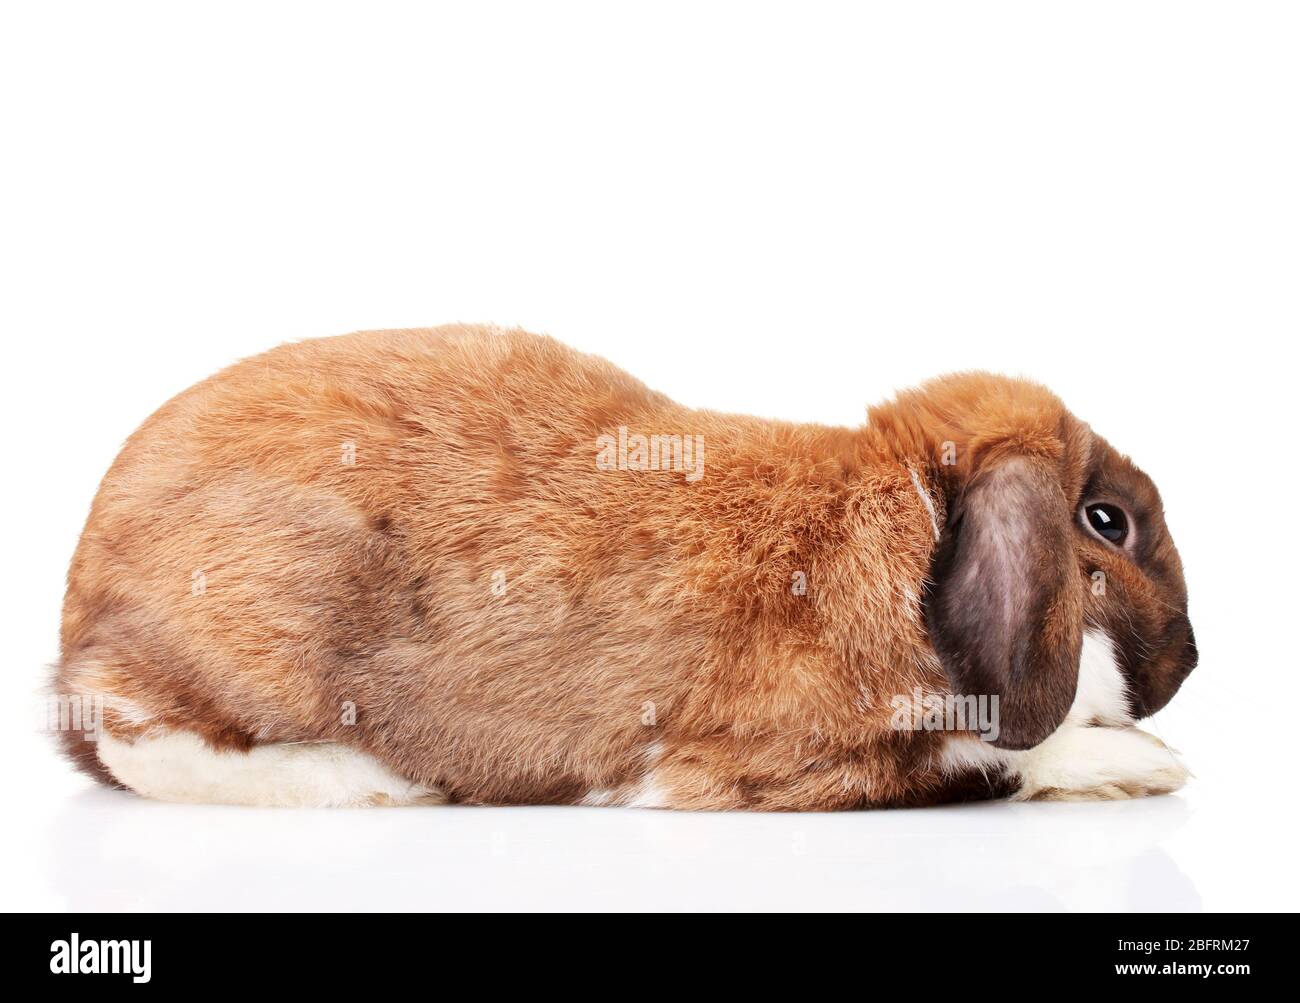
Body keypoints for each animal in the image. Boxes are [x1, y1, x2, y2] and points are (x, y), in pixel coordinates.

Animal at [53, 325, 1197, 809]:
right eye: (1106, 520)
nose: (1188, 663)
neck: (910, 521)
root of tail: (76, 612)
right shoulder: (776, 762)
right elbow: (988, 763)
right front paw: (1143, 766)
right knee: (141, 743)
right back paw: (377, 787)